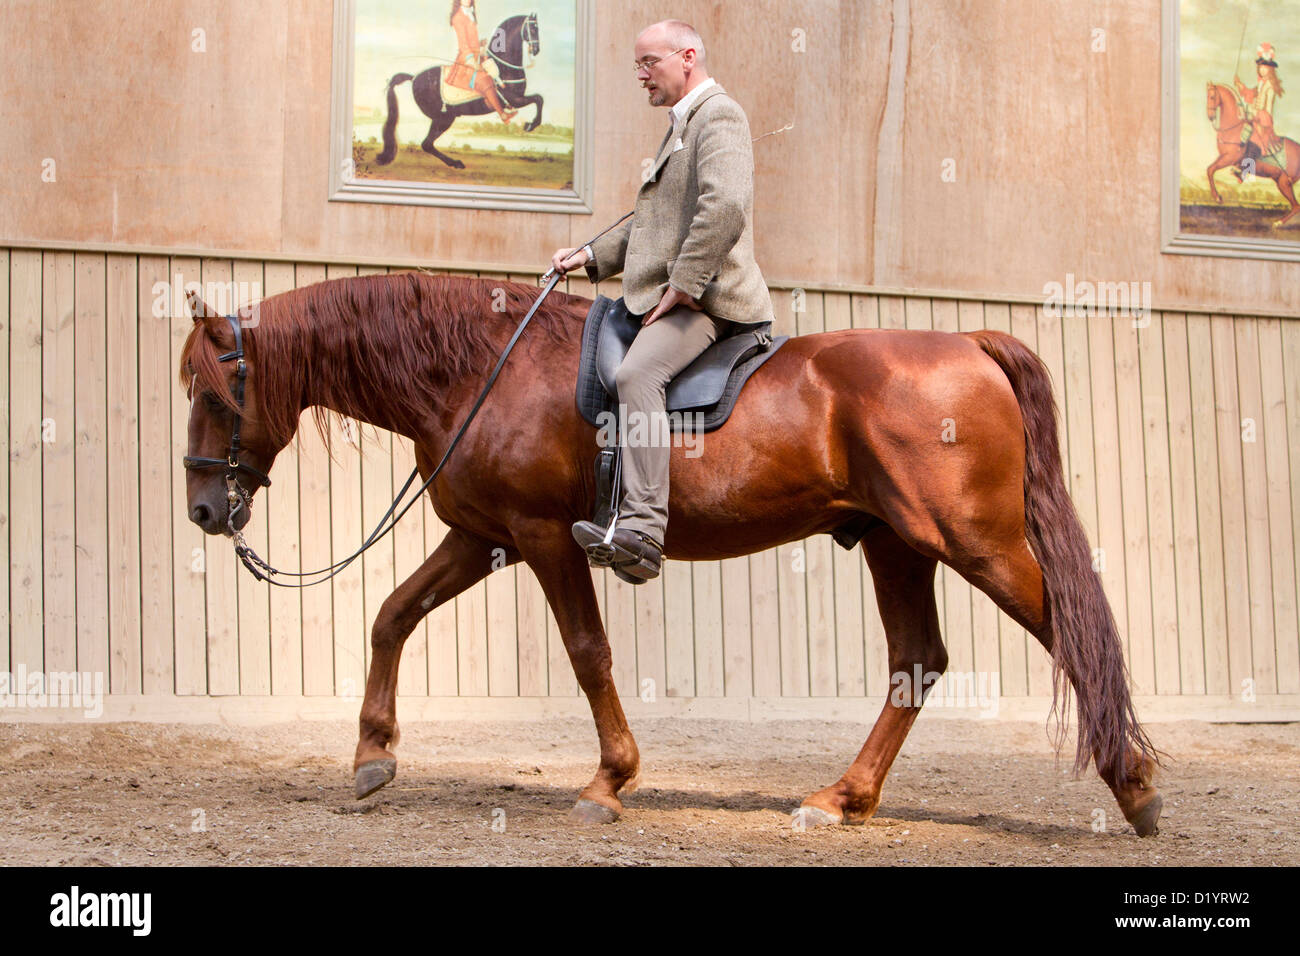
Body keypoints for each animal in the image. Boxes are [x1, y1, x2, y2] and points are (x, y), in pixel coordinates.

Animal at [179, 271, 1165, 837]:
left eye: (213, 390)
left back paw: (1135, 785)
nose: (201, 508)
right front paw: (372, 756)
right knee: (916, 662)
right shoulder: (484, 536)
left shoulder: (541, 537)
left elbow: (588, 654)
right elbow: (392, 615)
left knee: (1072, 639)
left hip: (976, 543)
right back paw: (842, 799)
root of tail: (967, 341)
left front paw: (609, 781)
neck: (481, 368)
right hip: (897, 546)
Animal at [375, 13, 543, 169]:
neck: (503, 67)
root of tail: (414, 77)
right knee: (426, 144)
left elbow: (538, 98)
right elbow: (538, 98)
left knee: (427, 144)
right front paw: (530, 125)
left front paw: (530, 124)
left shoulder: (515, 99)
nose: (536, 50)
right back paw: (456, 163)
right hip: (444, 118)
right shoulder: (513, 99)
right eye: (533, 28)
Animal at [1204, 81, 1300, 226]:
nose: (1210, 117)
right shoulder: (1223, 157)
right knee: (1295, 206)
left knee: (1296, 206)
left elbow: (1211, 169)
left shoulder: (1229, 158)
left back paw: (1278, 223)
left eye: (1212, 96)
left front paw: (1217, 198)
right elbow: (1209, 169)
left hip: (1284, 182)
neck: (1234, 129)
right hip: (1281, 182)